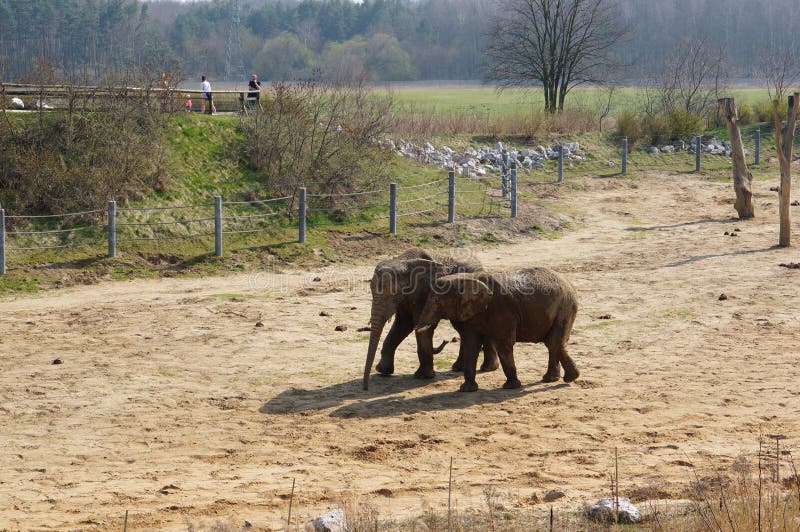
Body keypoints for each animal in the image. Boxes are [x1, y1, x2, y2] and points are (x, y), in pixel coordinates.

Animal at [362, 247, 500, 390]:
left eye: (394, 293)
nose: (365, 388)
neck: (402, 260)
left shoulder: (425, 293)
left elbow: (420, 326)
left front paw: (423, 377)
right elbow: (403, 325)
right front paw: (382, 371)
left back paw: (486, 368)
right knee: (462, 329)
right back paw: (461, 368)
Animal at [415, 267, 579, 392]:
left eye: (437, 302)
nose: (447, 340)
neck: (467, 278)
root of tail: (569, 283)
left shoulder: (502, 310)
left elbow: (504, 344)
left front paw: (510, 387)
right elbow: (470, 345)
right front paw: (467, 390)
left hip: (565, 307)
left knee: (554, 342)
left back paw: (564, 378)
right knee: (553, 343)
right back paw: (556, 379)